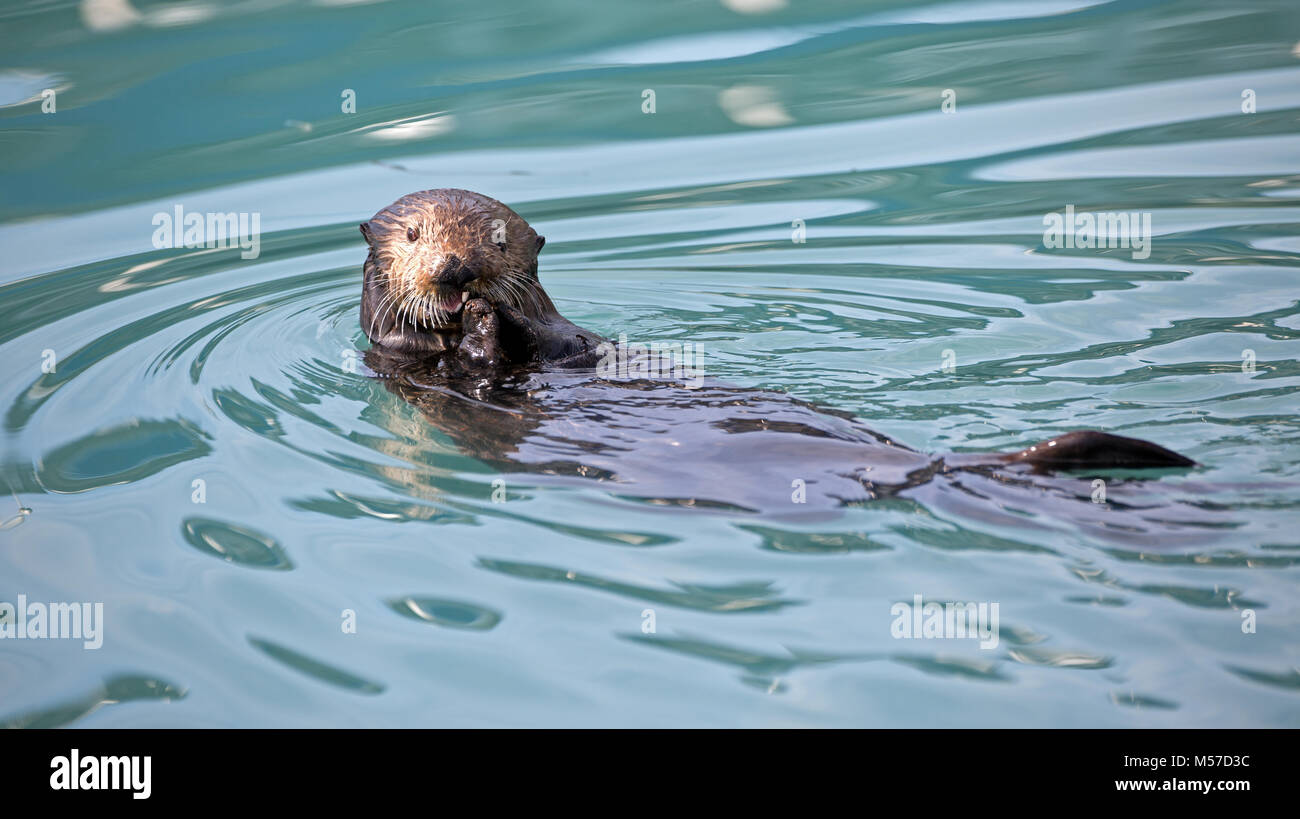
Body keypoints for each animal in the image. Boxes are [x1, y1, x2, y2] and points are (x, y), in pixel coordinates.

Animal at [358, 189, 1198, 527]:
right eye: (415, 237)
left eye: (497, 240)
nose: (456, 273)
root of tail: (915, 460)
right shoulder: (404, 365)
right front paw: (466, 323)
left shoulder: (557, 336)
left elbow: (550, 340)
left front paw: (486, 317)